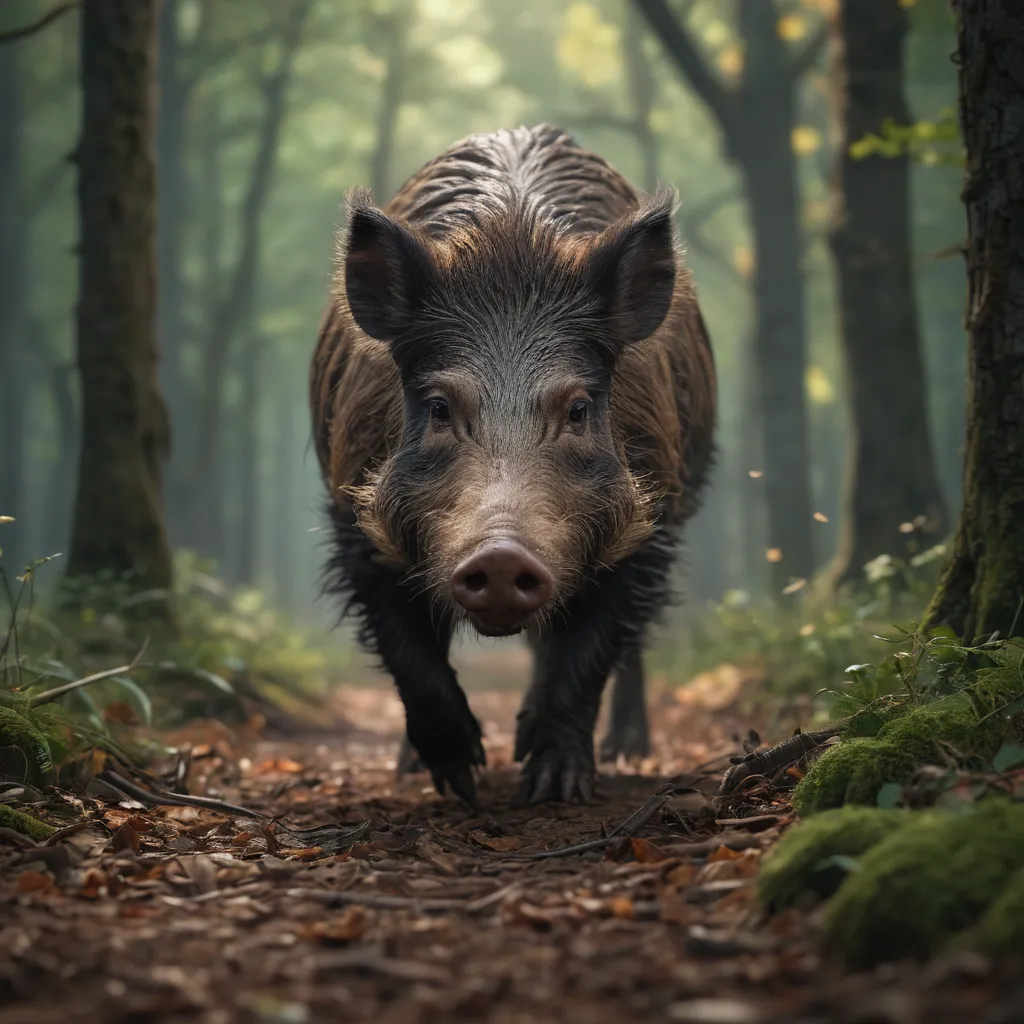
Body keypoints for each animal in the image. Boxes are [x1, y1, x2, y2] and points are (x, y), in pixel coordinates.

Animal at [310, 125, 716, 808]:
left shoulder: (652, 515)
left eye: (578, 409)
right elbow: (409, 653)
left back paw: (625, 752)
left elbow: (588, 655)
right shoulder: (350, 505)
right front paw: (459, 782)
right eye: (439, 407)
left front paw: (555, 789)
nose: (501, 556)